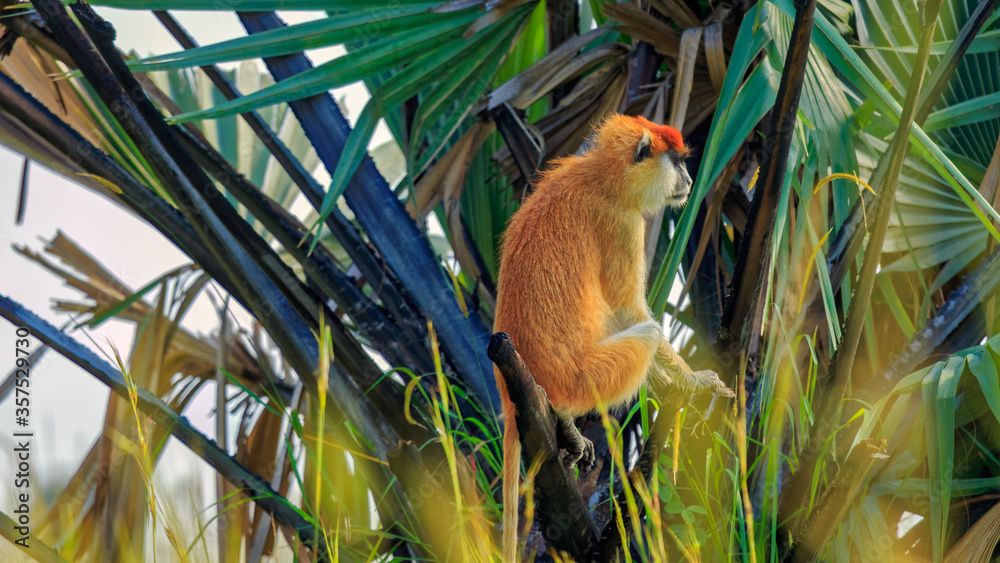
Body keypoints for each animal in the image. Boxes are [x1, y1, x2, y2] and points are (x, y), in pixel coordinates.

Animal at [492, 113, 731, 562]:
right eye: (676, 161)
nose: (689, 179)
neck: (602, 175)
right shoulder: (621, 223)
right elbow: (629, 311)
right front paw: (695, 381)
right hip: (584, 379)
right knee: (647, 333)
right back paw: (565, 417)